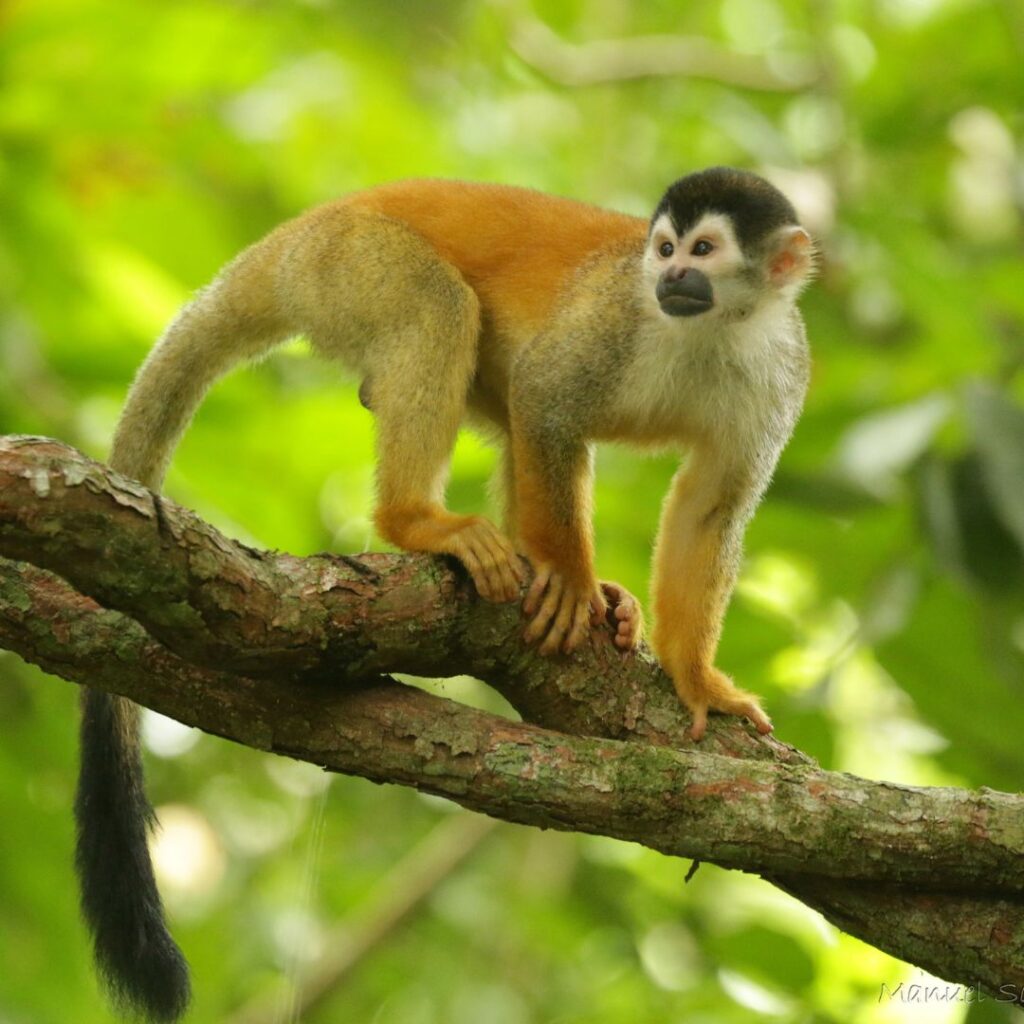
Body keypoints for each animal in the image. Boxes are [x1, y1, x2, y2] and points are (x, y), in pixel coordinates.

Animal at [76, 167, 813, 1021]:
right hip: (351, 266)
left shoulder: (780, 374)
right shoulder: (612, 319)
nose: (668, 280)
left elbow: (709, 508)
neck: (710, 330)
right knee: (440, 310)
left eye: (703, 250)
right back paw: (418, 521)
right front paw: (568, 579)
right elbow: (547, 403)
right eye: (664, 249)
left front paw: (694, 677)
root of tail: (304, 229)